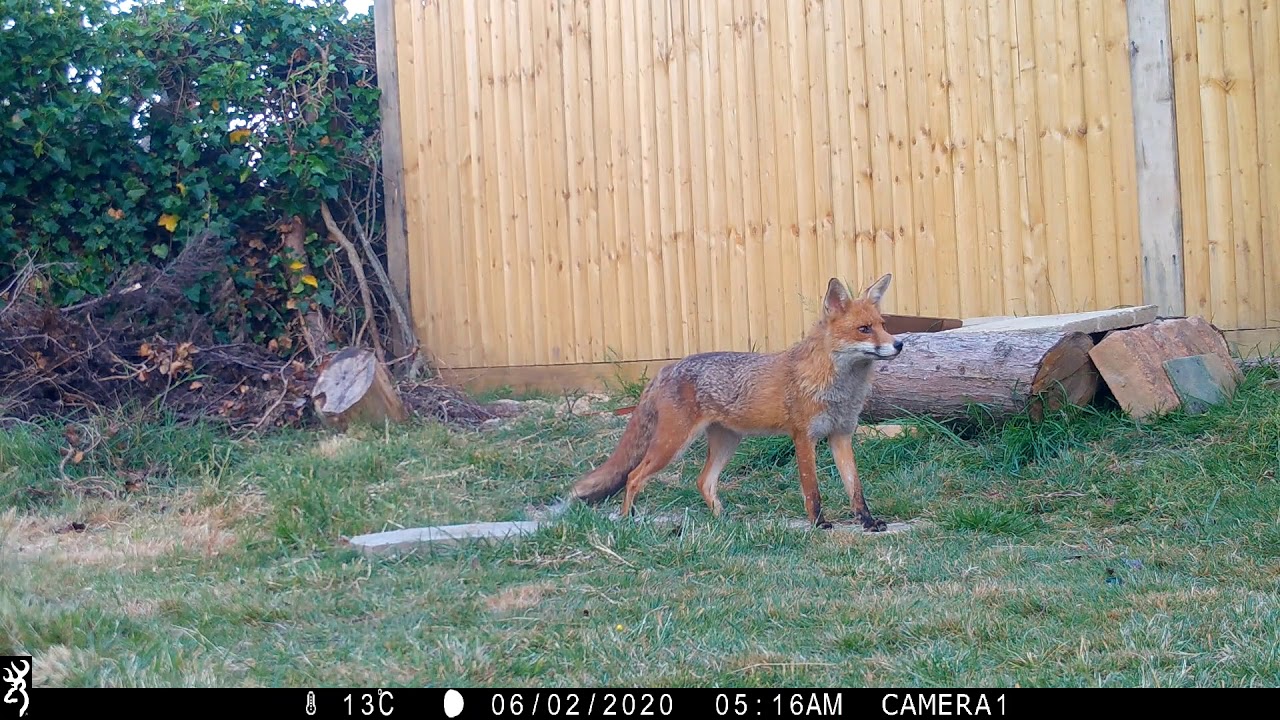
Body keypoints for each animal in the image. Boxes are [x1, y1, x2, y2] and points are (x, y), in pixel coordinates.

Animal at [566, 273, 904, 531]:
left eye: (883, 325)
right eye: (864, 329)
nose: (899, 344)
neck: (840, 389)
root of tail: (667, 368)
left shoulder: (841, 435)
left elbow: (855, 488)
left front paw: (868, 522)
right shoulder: (803, 437)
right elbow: (812, 490)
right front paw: (819, 524)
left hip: (726, 442)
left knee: (703, 481)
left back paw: (723, 521)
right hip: (671, 445)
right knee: (634, 476)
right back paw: (627, 520)